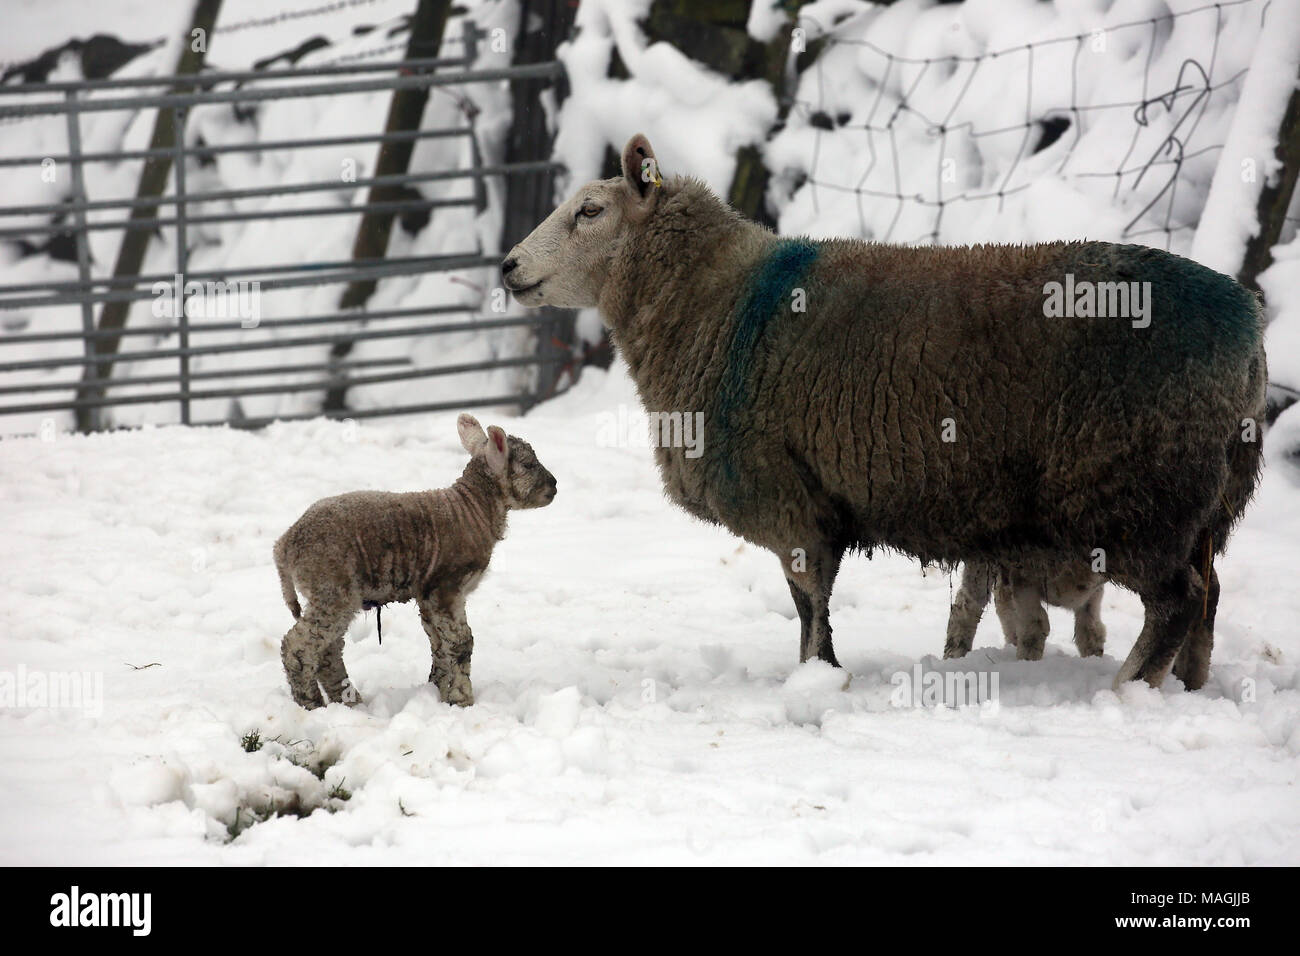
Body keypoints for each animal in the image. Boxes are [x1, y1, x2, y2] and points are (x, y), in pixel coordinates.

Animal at [272, 414, 557, 709]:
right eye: (528, 464)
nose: (554, 486)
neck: (473, 508)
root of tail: (284, 545)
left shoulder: (428, 593)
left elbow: (439, 645)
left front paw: (437, 691)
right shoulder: (447, 585)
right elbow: (461, 643)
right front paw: (462, 699)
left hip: (330, 592)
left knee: (329, 652)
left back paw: (350, 702)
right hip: (331, 586)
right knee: (298, 646)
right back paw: (311, 703)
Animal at [944, 561, 1106, 661]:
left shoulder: (1092, 593)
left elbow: (1091, 631)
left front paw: (1093, 659)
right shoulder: (1023, 581)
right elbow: (1034, 629)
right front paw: (1027, 663)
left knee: (1003, 600)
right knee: (966, 606)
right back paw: (954, 655)